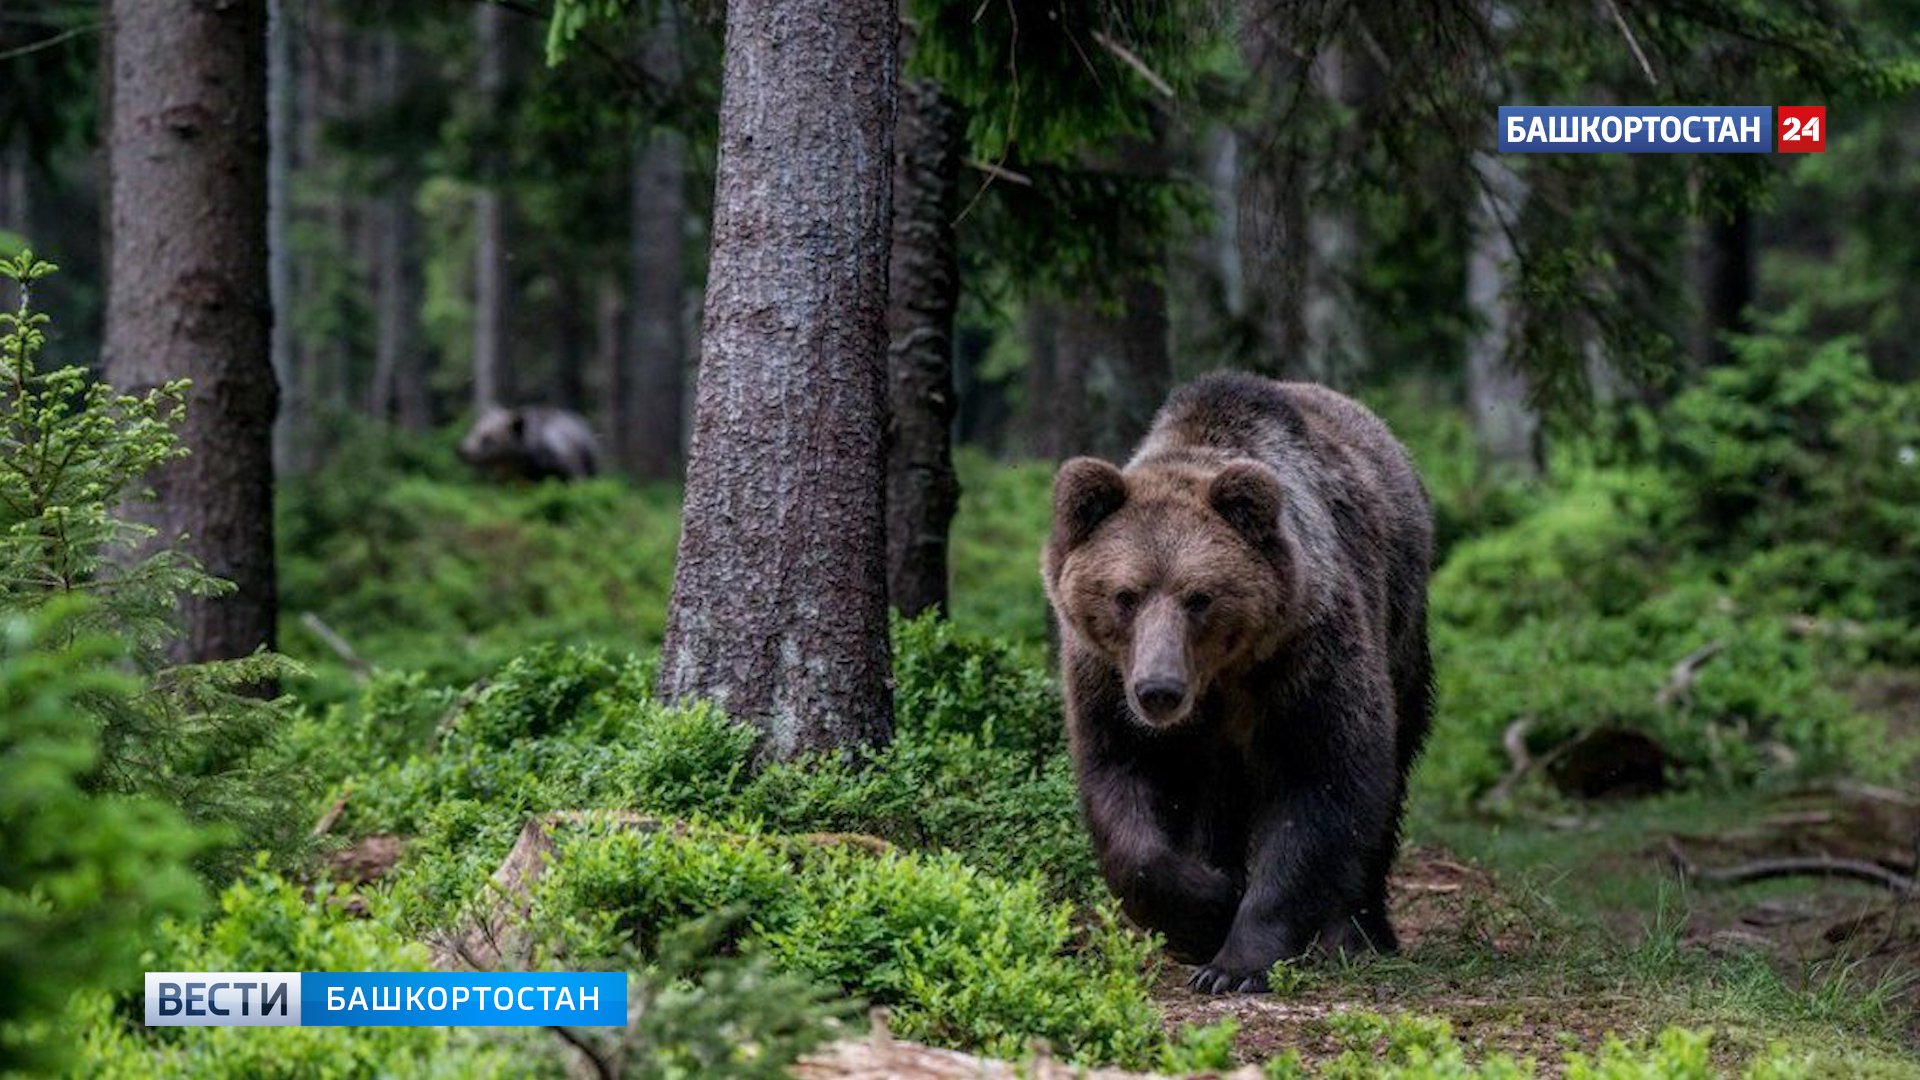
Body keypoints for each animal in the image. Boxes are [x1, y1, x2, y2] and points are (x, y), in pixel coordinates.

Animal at [1044, 372, 1436, 991]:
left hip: (1402, 634)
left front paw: (1235, 963)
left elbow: (1323, 783)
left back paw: (1360, 932)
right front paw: (1206, 905)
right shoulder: (1105, 681)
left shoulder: (1306, 661)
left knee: (1391, 776)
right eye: (1126, 595)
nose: (1159, 690)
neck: (1220, 681)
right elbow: (1123, 791)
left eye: (1199, 597)